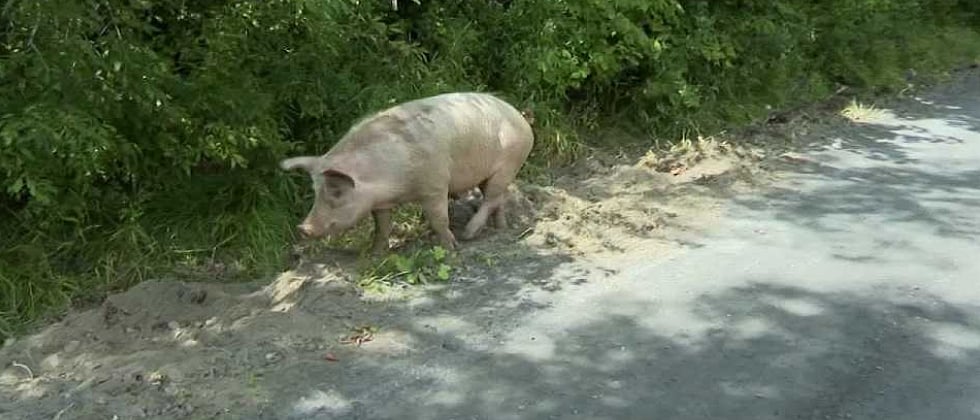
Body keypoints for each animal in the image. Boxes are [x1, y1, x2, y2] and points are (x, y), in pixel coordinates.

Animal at [279, 92, 535, 254]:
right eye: (315, 192)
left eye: (336, 191)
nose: (303, 228)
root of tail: (522, 119)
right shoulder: (379, 203)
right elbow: (382, 227)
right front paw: (374, 254)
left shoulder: (435, 185)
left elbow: (439, 219)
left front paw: (450, 248)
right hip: (489, 174)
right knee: (498, 198)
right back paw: (500, 228)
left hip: (510, 162)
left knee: (491, 197)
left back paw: (468, 234)